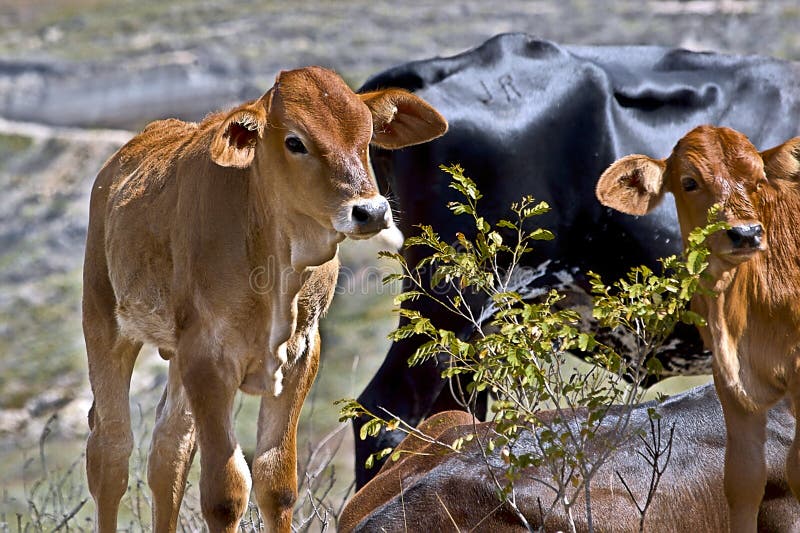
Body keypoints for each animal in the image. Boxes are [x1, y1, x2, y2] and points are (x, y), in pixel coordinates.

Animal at [81, 66, 447, 532]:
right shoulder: (207, 357)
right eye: (295, 141)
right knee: (110, 451)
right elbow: (225, 493)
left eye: (366, 137)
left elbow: (277, 481)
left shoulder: (300, 354)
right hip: (105, 323)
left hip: (176, 357)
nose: (371, 211)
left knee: (169, 450)